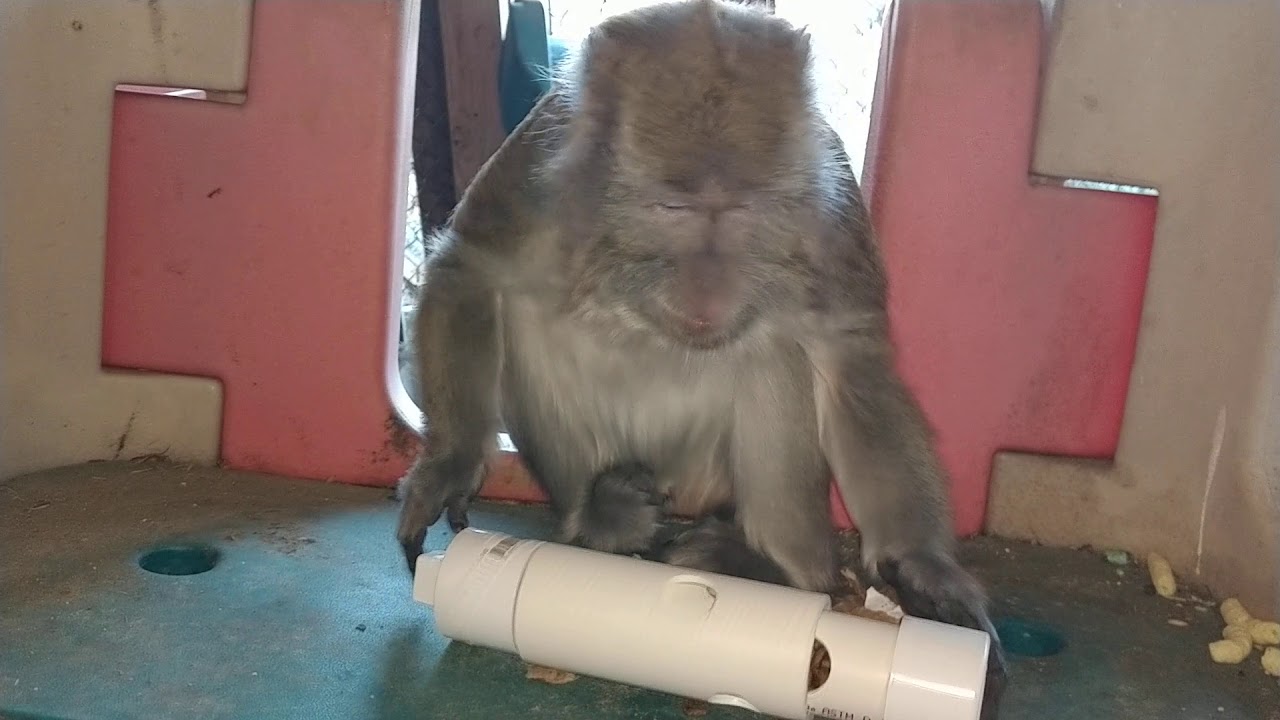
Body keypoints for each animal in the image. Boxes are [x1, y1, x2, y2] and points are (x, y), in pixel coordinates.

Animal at [395, 1, 1006, 715]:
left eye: (739, 210)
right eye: (673, 207)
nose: (707, 286)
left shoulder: (829, 212)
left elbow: (852, 358)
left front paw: (924, 566)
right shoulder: (537, 172)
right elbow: (469, 269)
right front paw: (451, 461)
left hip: (706, 478)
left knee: (773, 351)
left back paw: (771, 570)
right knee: (523, 314)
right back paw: (601, 520)